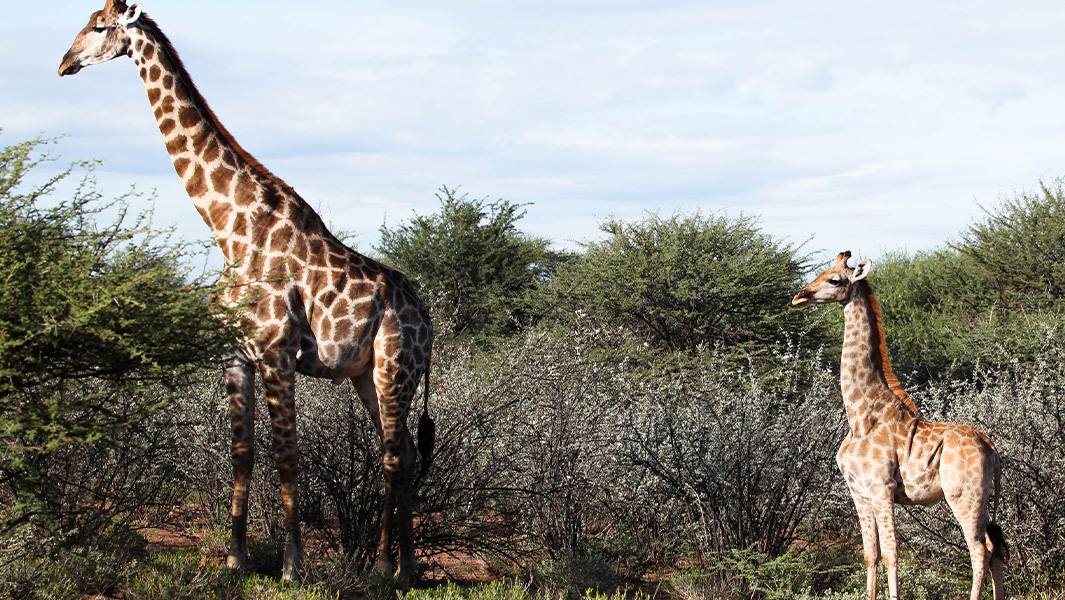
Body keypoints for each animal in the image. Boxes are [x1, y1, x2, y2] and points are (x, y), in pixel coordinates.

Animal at [59, 0, 434, 583]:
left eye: (99, 26)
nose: (64, 63)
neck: (229, 230)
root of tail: (429, 322)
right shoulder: (234, 355)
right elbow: (242, 453)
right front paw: (235, 559)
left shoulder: (277, 353)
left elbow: (287, 456)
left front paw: (292, 566)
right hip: (366, 375)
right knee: (407, 454)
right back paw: (405, 568)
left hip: (396, 368)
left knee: (395, 456)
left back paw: (381, 567)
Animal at [792, 251, 1006, 600]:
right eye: (821, 272)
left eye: (834, 280)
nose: (800, 296)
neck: (861, 415)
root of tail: (992, 449)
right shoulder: (858, 492)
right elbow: (871, 553)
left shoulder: (882, 488)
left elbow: (892, 553)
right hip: (983, 499)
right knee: (996, 547)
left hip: (963, 495)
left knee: (979, 550)